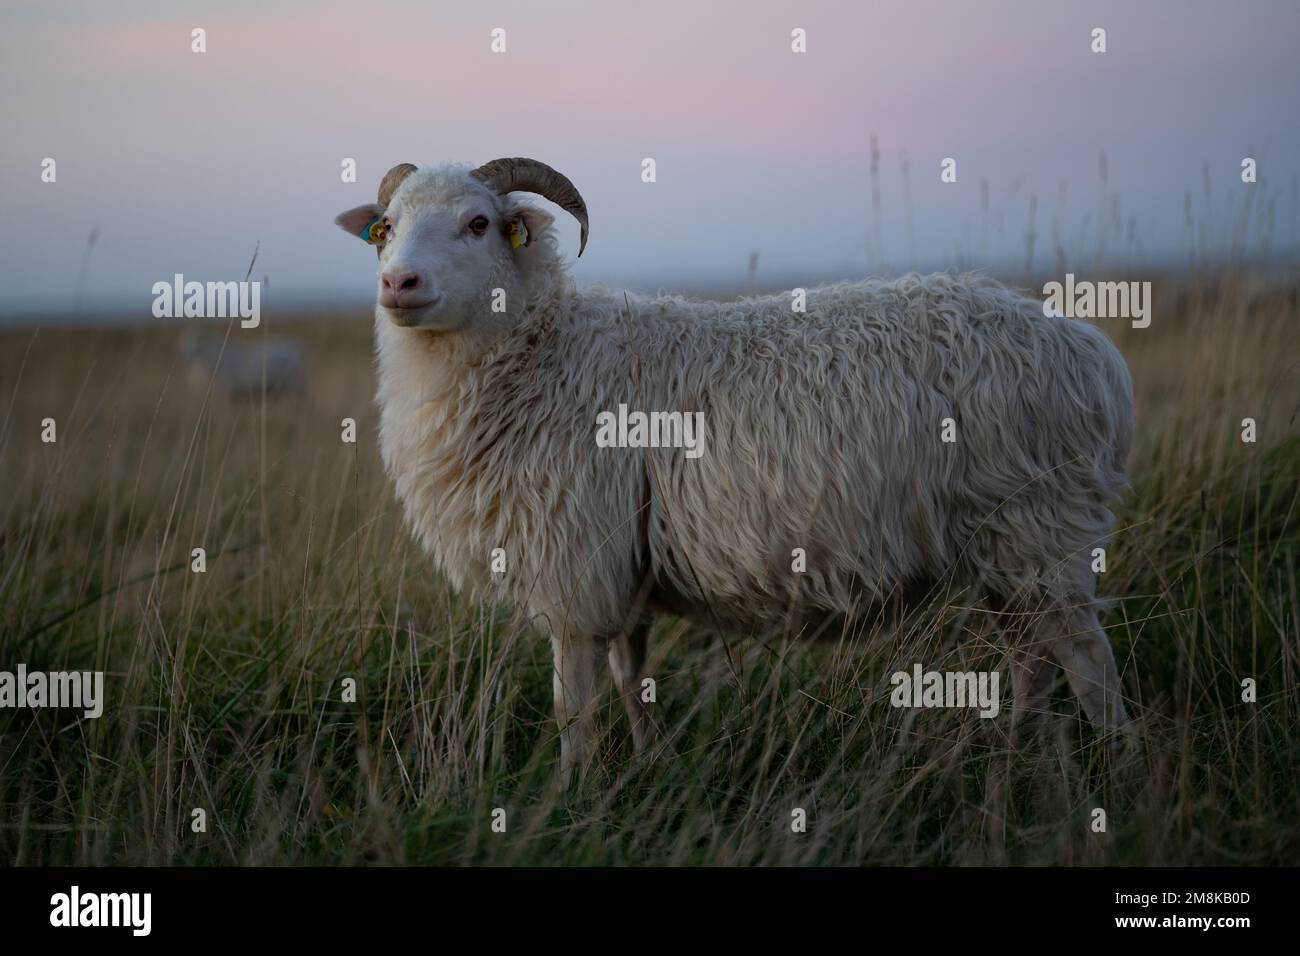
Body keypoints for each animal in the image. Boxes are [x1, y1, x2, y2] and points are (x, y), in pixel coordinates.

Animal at [335, 158, 1138, 784]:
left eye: (477, 223)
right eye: (386, 227)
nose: (400, 283)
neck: (544, 352)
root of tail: (1091, 351)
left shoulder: (575, 571)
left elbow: (573, 705)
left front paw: (570, 793)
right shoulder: (623, 569)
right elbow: (631, 678)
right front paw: (649, 766)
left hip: (1039, 526)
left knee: (1088, 660)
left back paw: (1117, 772)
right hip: (1004, 545)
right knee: (1032, 653)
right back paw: (1015, 756)